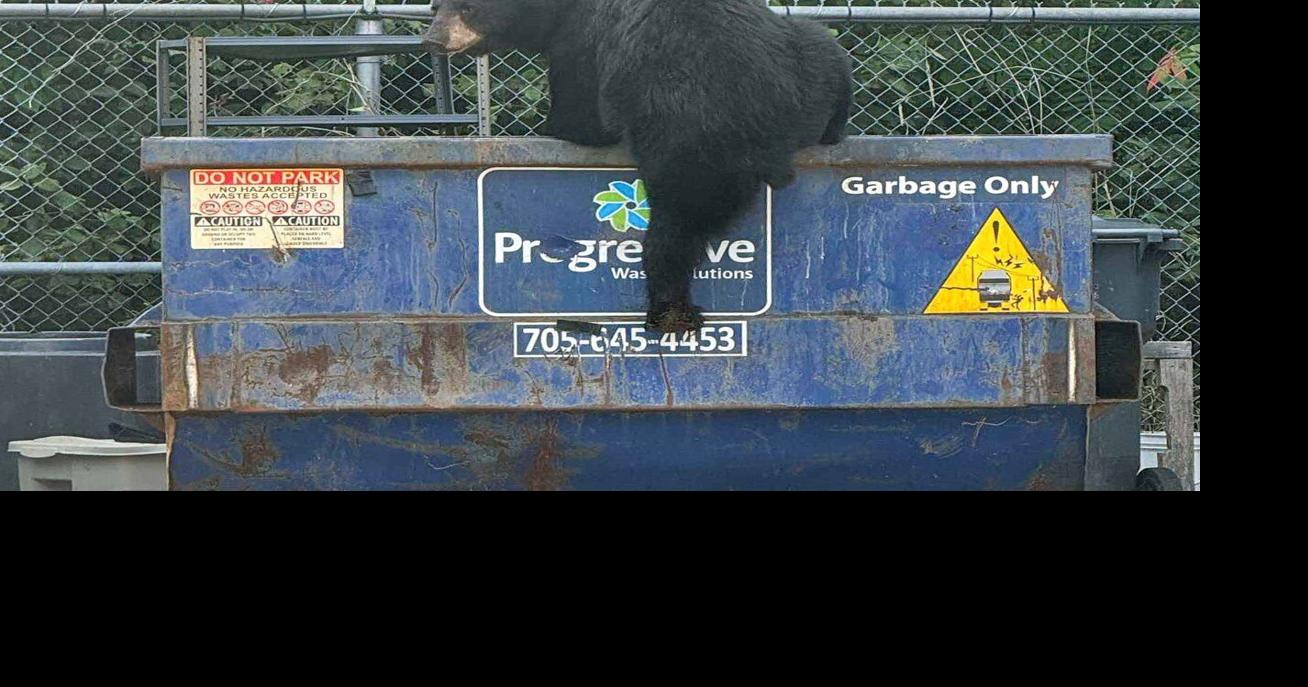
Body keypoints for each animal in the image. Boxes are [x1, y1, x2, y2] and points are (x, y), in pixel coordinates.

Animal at [423, 0, 853, 333]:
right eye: (434, 7)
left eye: (468, 7)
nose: (433, 39)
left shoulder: (583, 41)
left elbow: (580, 111)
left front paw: (559, 125)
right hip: (812, 64)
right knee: (825, 54)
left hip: (686, 123)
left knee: (679, 219)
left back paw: (671, 310)